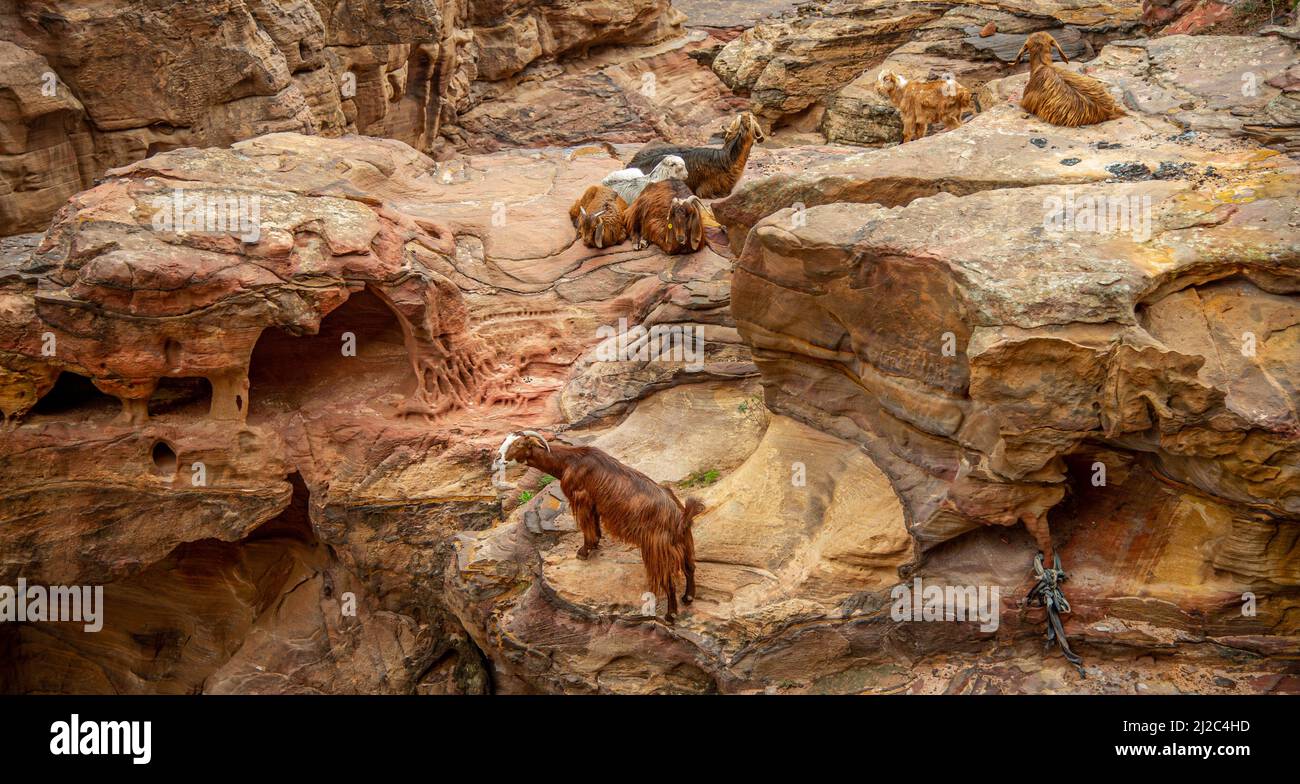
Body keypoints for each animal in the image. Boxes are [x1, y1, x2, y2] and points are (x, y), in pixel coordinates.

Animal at [494, 431, 703, 622]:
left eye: (519, 444)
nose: (498, 459)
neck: (569, 462)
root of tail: (680, 517)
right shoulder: (594, 503)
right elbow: (594, 525)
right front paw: (594, 545)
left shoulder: (582, 498)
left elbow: (587, 526)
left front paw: (583, 552)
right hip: (685, 542)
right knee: (690, 567)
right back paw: (688, 597)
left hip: (657, 548)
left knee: (667, 579)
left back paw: (670, 615)